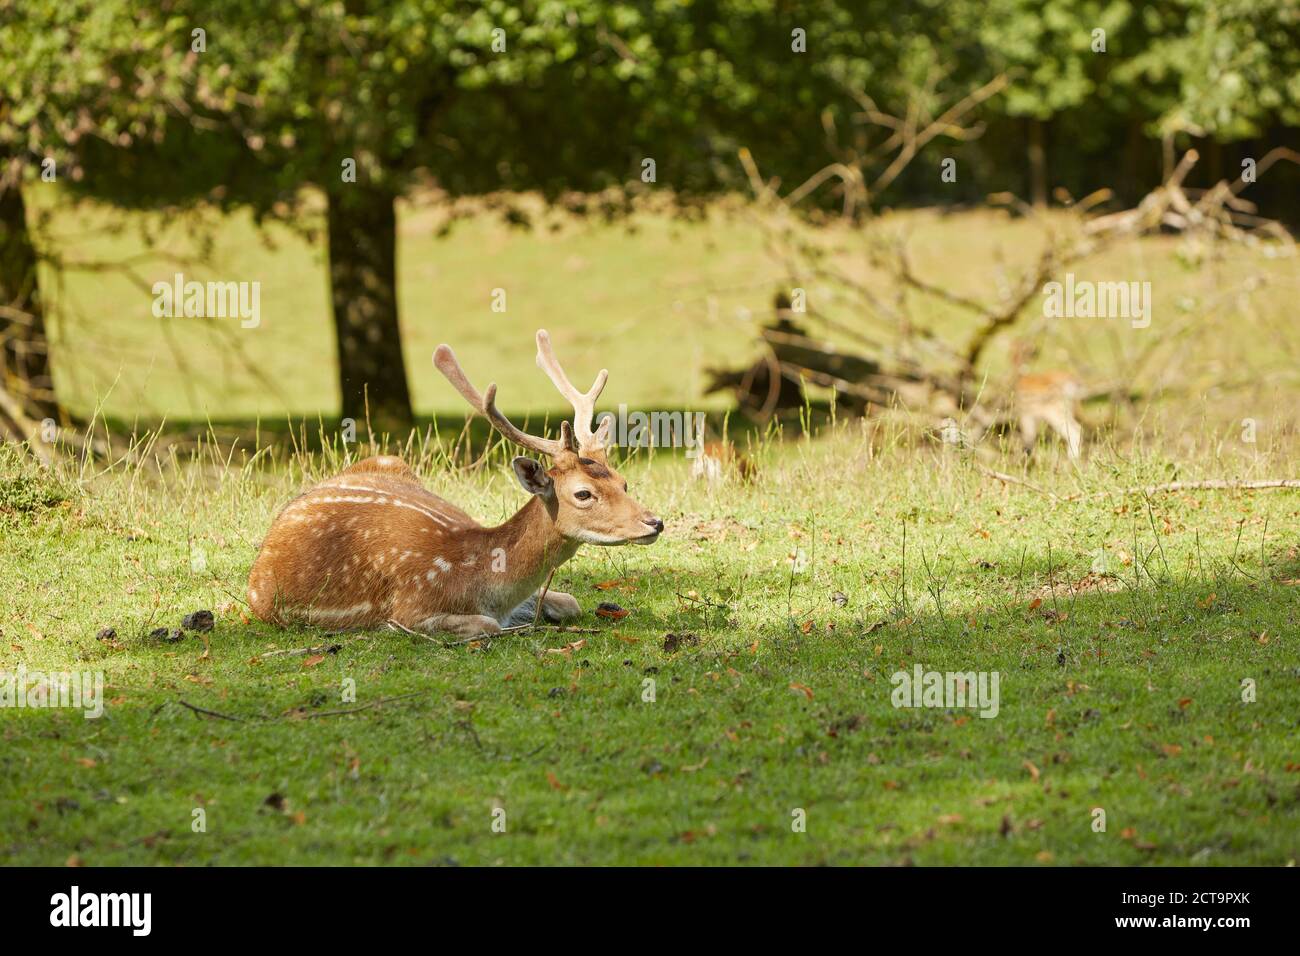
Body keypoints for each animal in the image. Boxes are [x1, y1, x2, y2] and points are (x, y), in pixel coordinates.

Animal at [246, 330, 664, 639]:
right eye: (582, 493)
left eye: (624, 483)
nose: (654, 522)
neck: (485, 584)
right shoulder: (411, 609)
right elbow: (486, 625)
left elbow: (570, 603)